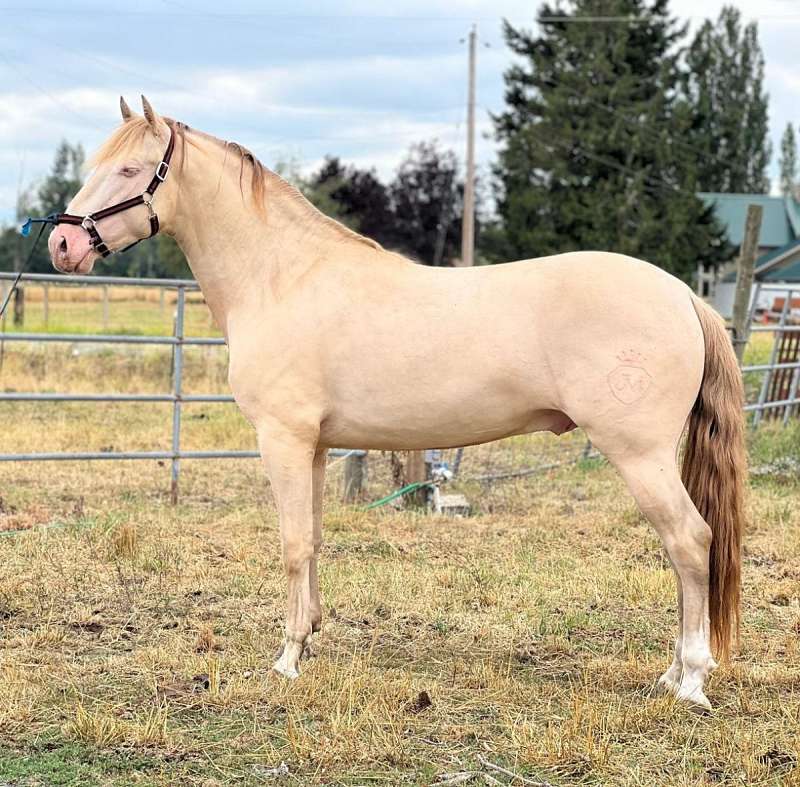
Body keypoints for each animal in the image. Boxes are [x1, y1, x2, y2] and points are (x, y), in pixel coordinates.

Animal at [46, 96, 746, 711]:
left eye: (129, 170)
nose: (61, 247)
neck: (282, 279)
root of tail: (683, 294)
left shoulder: (283, 439)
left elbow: (292, 544)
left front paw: (287, 659)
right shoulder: (317, 447)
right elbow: (315, 540)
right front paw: (310, 637)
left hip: (640, 455)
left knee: (689, 542)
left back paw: (690, 680)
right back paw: (670, 674)